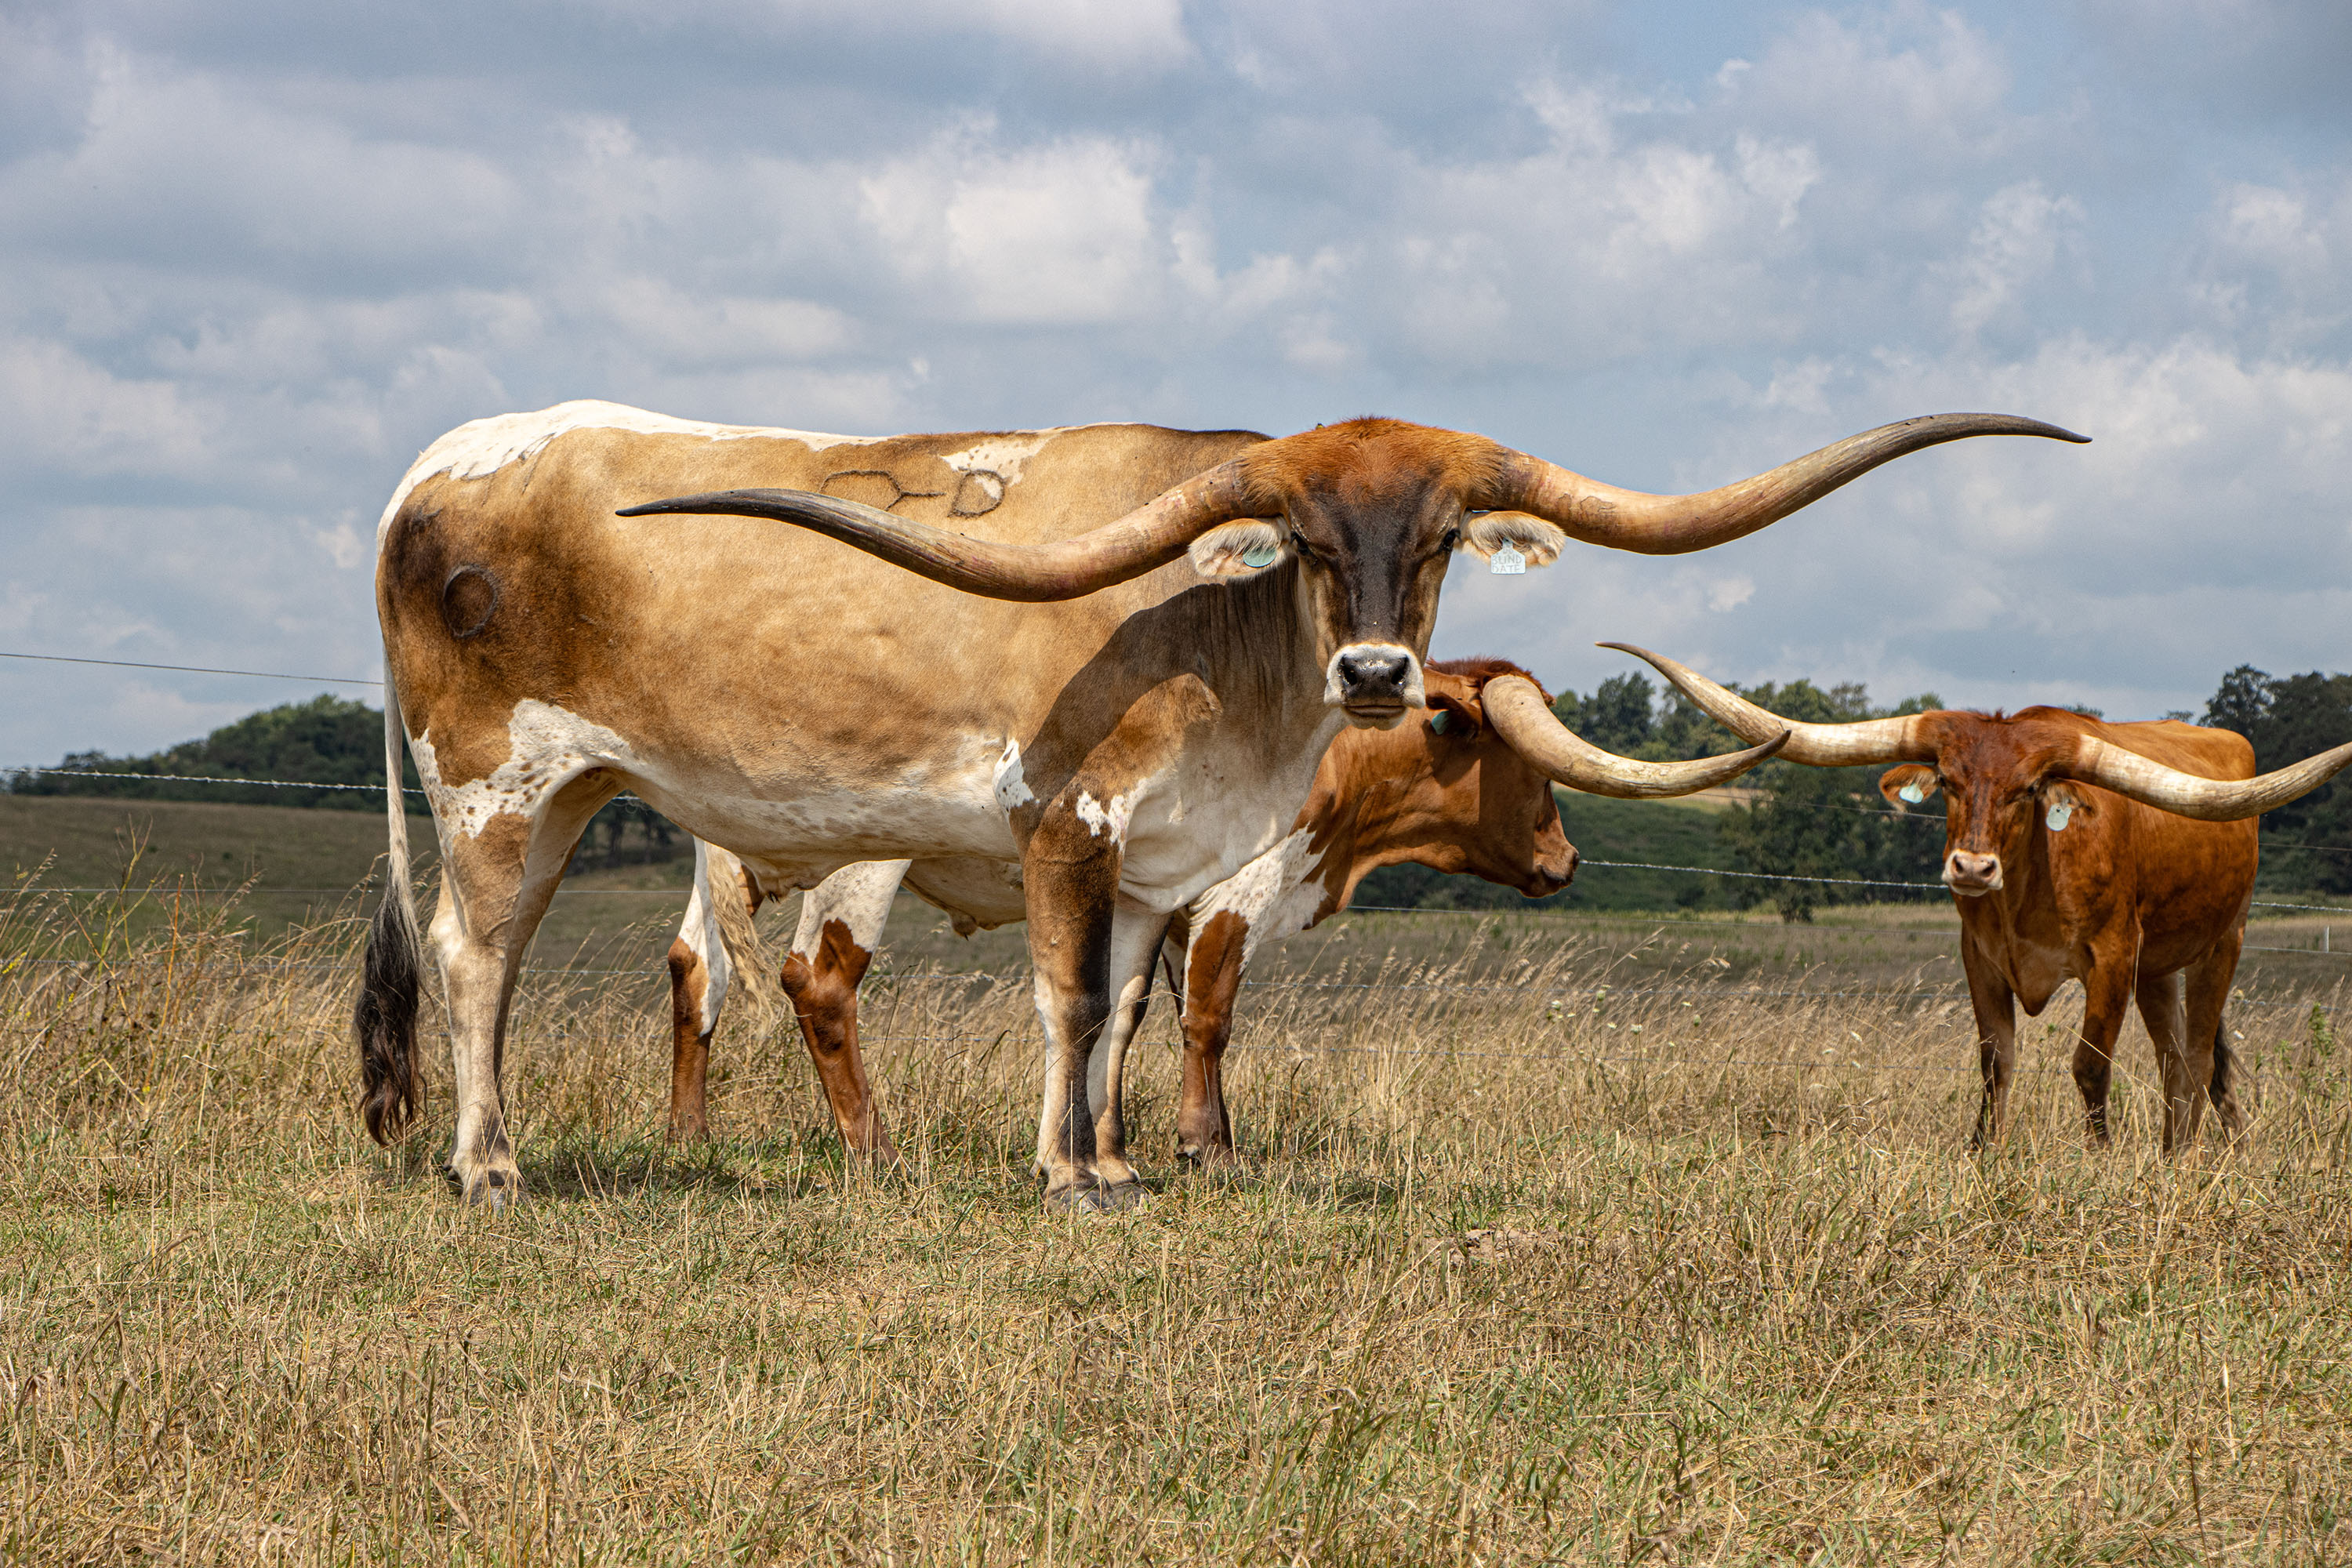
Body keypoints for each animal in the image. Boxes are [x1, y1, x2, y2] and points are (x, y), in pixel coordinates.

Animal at [662, 658, 1637, 1164]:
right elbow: (1209, 1015)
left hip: (737, 859)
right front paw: (1206, 1149)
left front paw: (1125, 1137)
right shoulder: (1241, 891)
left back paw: (690, 1135)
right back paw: (877, 1150)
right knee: (819, 982)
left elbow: (1133, 1016)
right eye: (1525, 756)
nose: (1566, 858)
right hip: (864, 861)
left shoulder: (1162, 903)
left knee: (698, 968)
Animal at [1608, 643, 2352, 1151]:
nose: (1971, 866)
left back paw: (2187, 1159)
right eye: (1949, 782)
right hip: (2158, 967)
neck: (2028, 891)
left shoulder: (2111, 957)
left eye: (2027, 791)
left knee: (2196, 1057)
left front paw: (2100, 1158)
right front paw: (1983, 1153)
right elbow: (1997, 1063)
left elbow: (2090, 1066)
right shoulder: (1983, 958)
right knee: (2176, 1059)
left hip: (2221, 941)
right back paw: (2174, 1154)